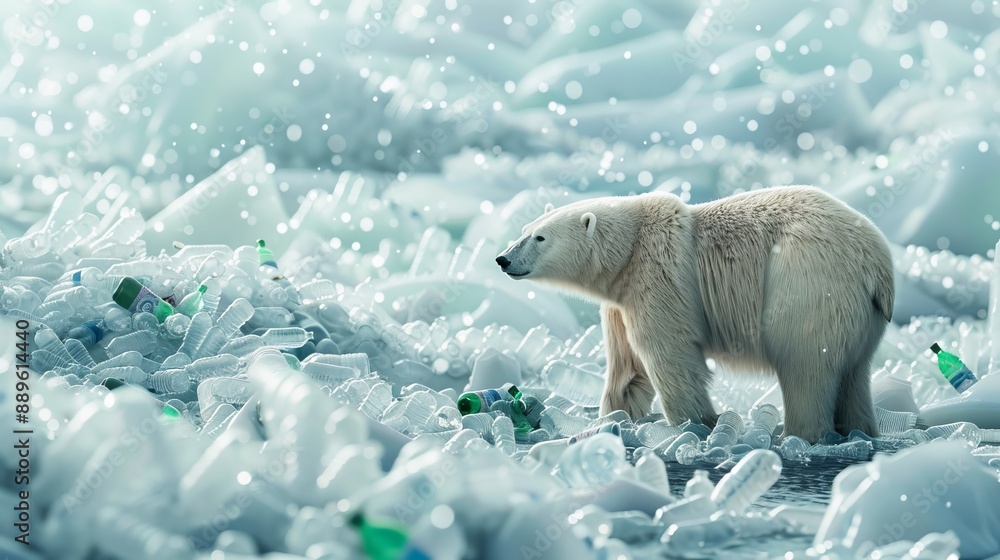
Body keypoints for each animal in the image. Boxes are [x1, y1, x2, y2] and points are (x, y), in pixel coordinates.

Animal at [495, 186, 894, 443]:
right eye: (525, 230)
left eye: (540, 238)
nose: (503, 259)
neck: (630, 248)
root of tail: (877, 263)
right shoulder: (620, 302)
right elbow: (627, 368)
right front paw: (617, 417)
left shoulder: (658, 277)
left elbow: (671, 356)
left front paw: (698, 425)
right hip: (861, 314)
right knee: (854, 371)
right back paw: (858, 430)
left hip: (805, 281)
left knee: (804, 365)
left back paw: (797, 435)